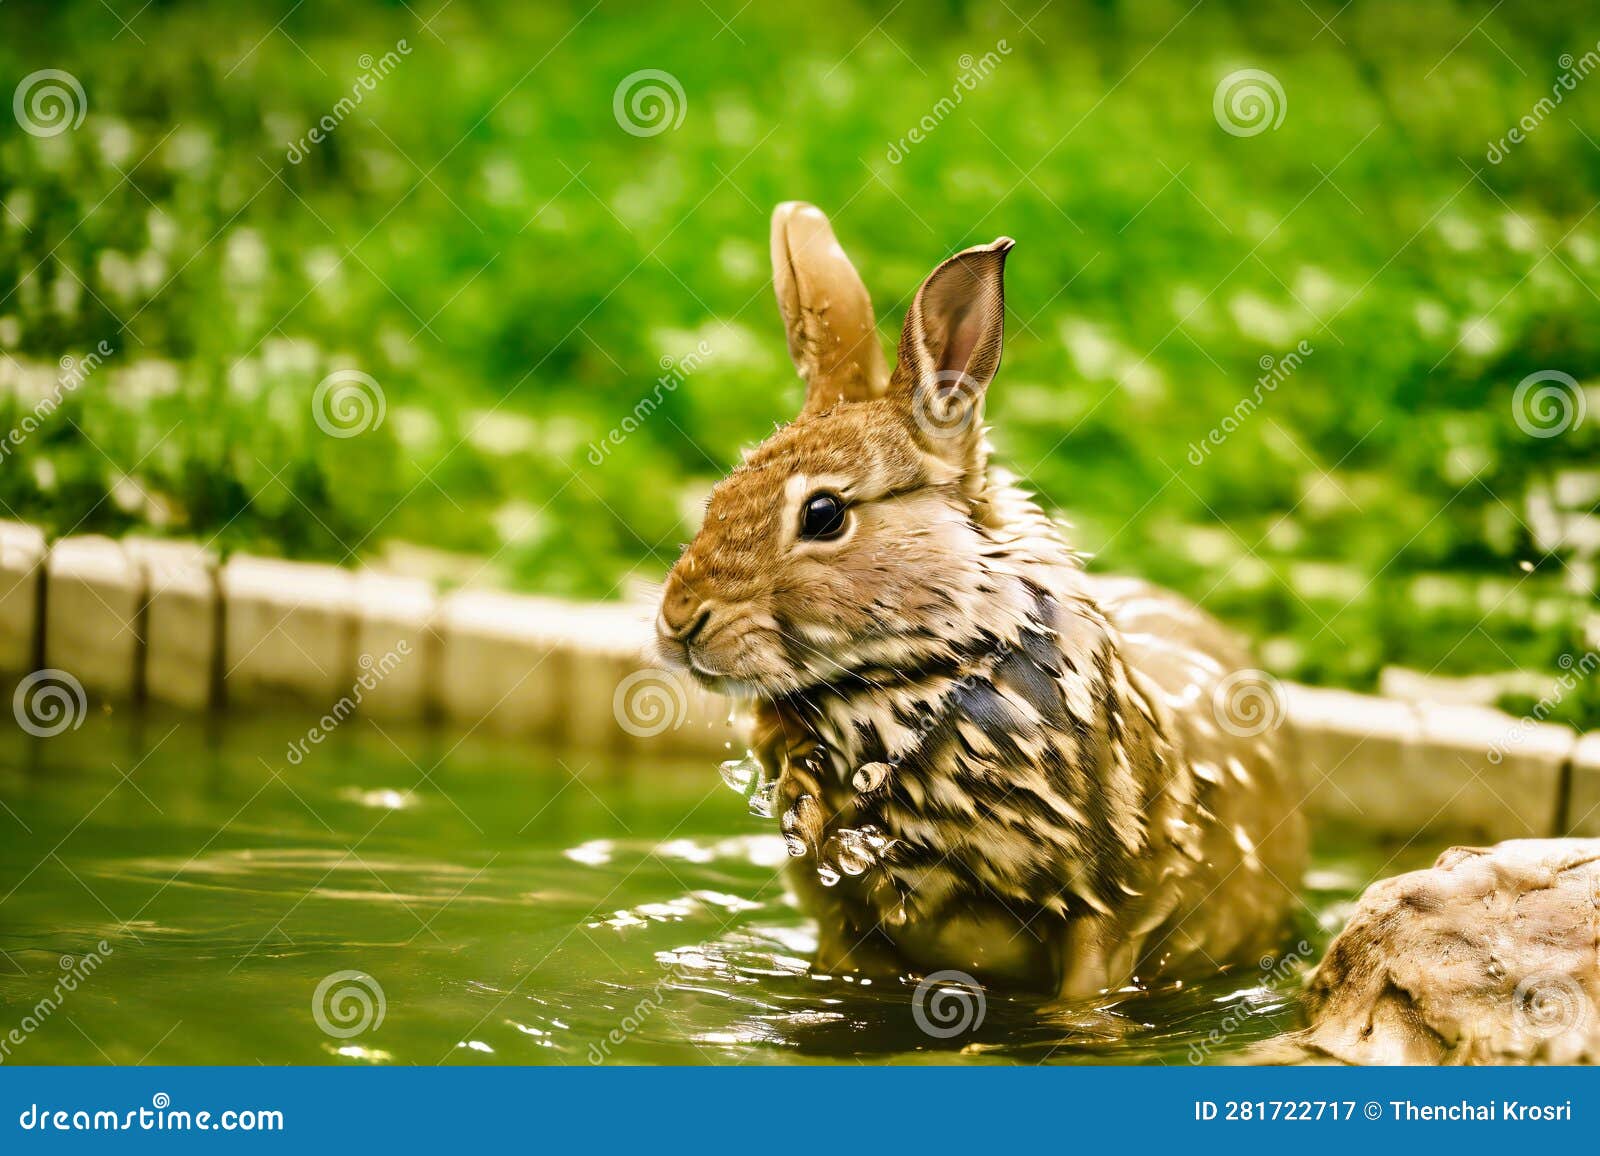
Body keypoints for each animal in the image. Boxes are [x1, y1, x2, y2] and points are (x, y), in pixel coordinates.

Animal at [655, 202, 1307, 1001]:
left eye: (824, 514)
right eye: (721, 492)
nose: (679, 622)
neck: (924, 667)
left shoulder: (1111, 914)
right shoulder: (845, 922)